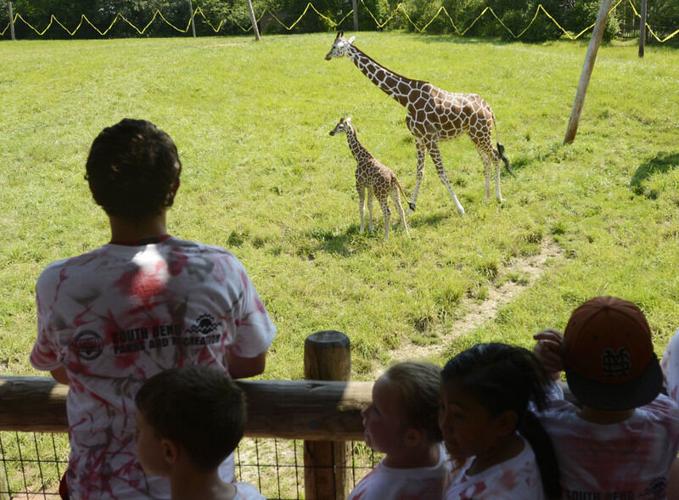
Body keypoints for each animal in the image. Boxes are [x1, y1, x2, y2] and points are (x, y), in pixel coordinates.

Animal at [325, 32, 512, 215]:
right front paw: (411, 208)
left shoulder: (430, 138)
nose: (326, 56)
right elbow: (420, 172)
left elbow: (441, 172)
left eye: (335, 46)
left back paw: (499, 197)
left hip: (481, 133)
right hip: (473, 134)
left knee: (495, 156)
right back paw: (486, 197)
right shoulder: (418, 138)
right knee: (486, 160)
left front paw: (460, 209)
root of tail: (488, 107)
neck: (406, 99)